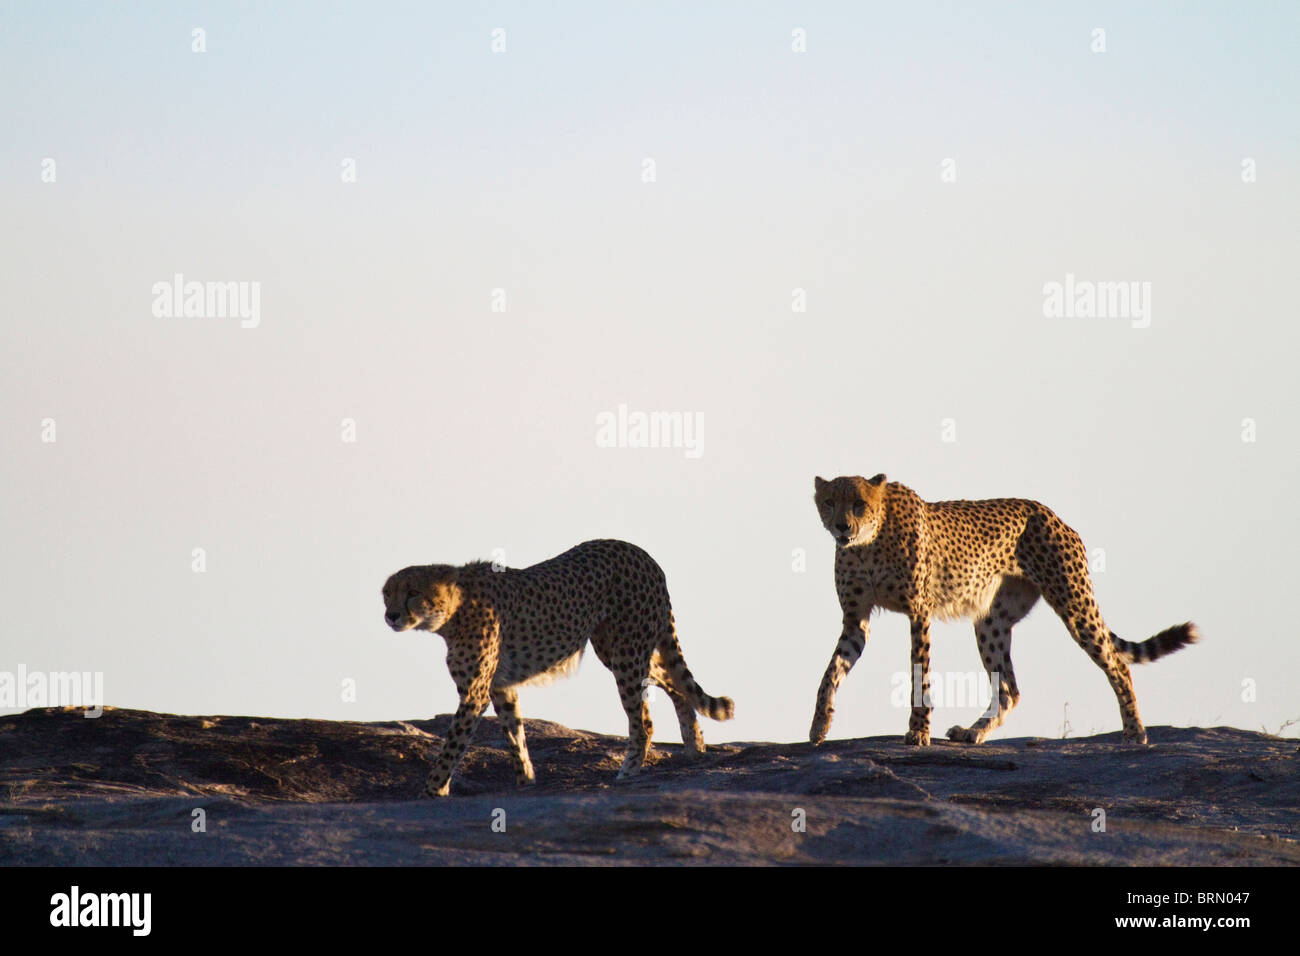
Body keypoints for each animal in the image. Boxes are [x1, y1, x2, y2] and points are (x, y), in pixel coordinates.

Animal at [382, 538, 734, 796]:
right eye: (386, 594)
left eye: (412, 593)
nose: (391, 615)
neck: (452, 613)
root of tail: (640, 552)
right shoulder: (500, 686)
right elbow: (515, 735)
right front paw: (526, 781)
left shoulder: (475, 693)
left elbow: (452, 745)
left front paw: (431, 791)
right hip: (617, 649)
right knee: (674, 682)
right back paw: (695, 746)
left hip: (627, 652)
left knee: (644, 720)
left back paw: (628, 772)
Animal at [810, 474, 1198, 747]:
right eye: (829, 502)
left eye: (859, 504)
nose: (842, 526)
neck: (867, 544)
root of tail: (1049, 511)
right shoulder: (855, 621)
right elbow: (830, 672)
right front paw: (819, 725)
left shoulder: (919, 613)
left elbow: (919, 673)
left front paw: (918, 732)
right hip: (991, 622)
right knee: (1010, 690)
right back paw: (972, 733)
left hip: (1073, 602)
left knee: (1117, 663)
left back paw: (1134, 731)